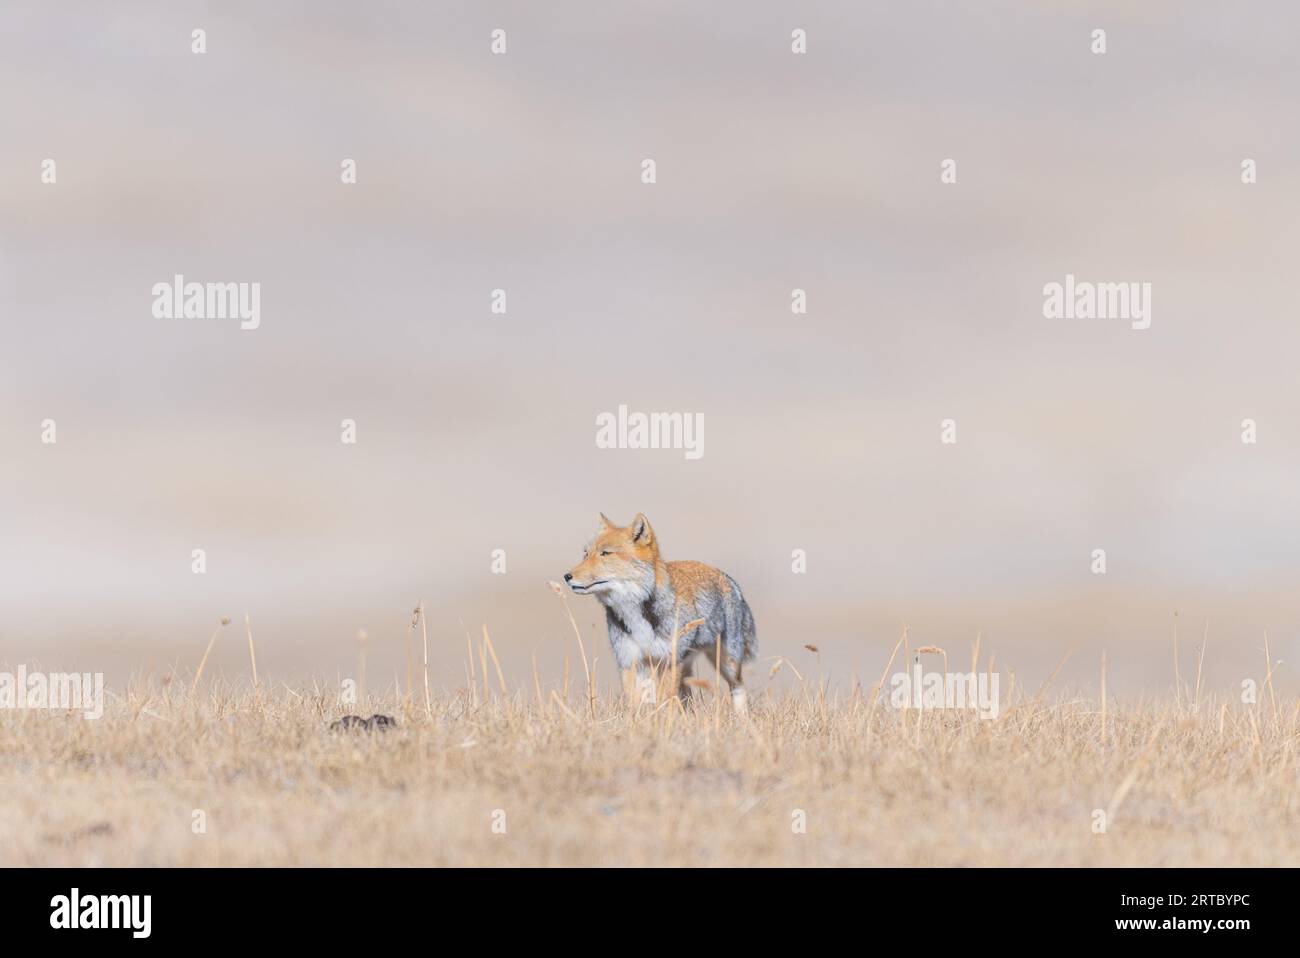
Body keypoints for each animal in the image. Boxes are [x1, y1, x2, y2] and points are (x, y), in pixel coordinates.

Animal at [564, 512, 757, 711]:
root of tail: (727, 578)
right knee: (688, 695)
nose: (567, 576)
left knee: (738, 687)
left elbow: (664, 702)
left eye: (605, 553)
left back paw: (741, 716)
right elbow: (634, 703)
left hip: (727, 662)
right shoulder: (629, 661)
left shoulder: (668, 661)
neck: (636, 615)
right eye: (586, 553)